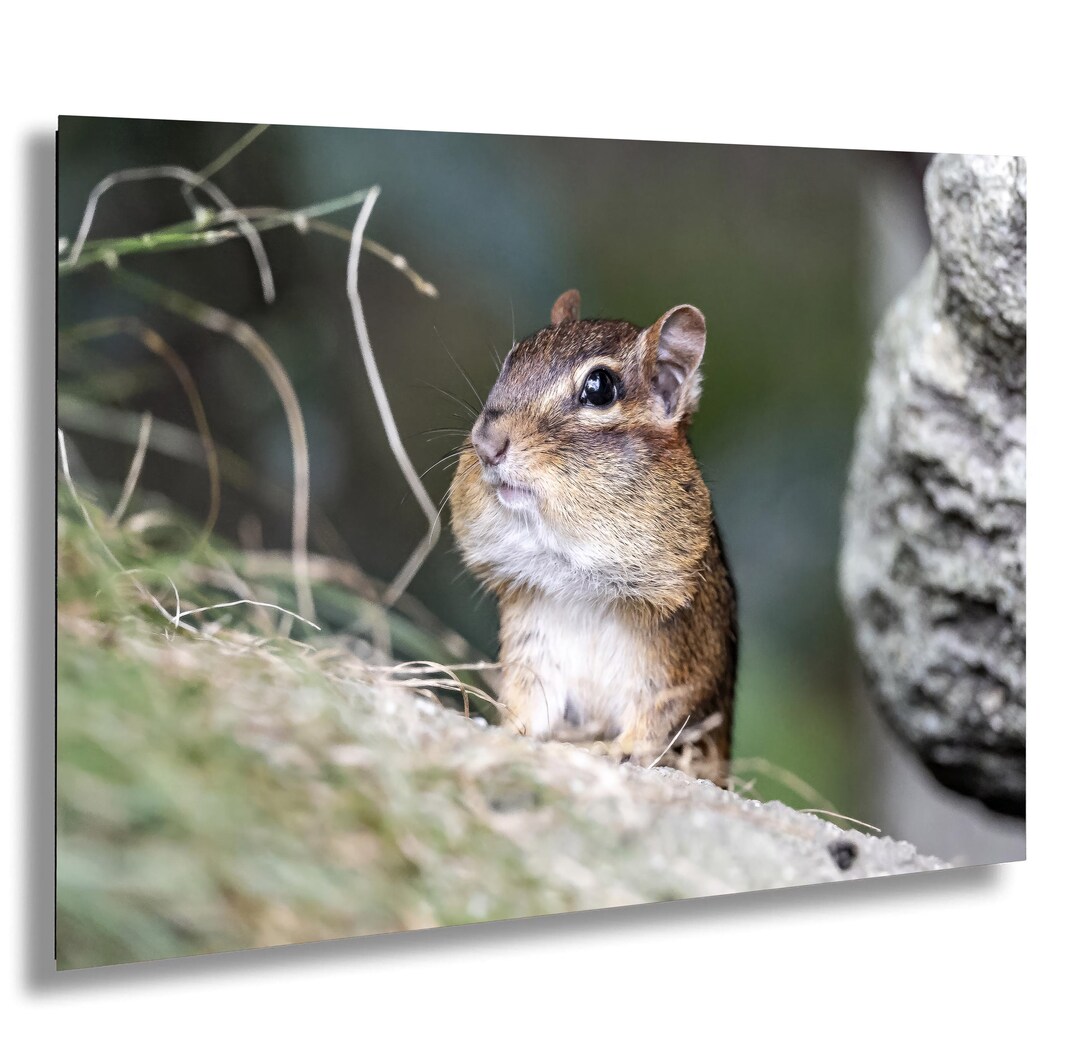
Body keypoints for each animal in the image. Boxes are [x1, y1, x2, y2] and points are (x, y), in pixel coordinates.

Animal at [449, 289, 738, 786]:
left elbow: (658, 717)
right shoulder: (533, 633)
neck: (573, 568)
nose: (486, 444)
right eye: (512, 359)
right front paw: (512, 730)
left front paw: (616, 749)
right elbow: (528, 697)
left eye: (600, 388)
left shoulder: (677, 660)